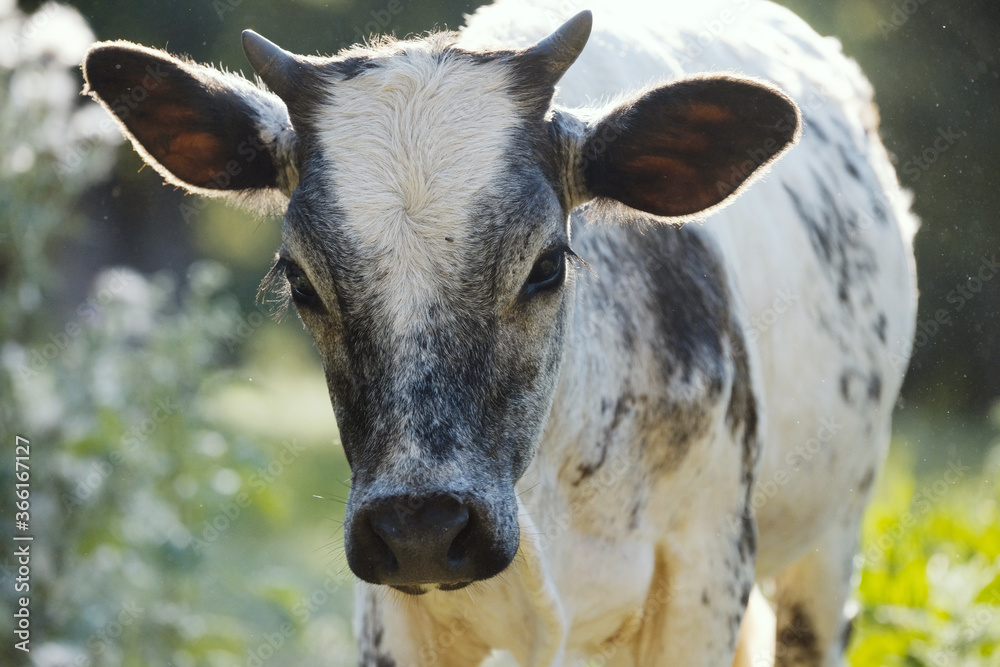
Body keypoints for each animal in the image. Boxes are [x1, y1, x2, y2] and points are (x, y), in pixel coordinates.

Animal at [81, 0, 918, 664]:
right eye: (299, 278)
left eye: (545, 265)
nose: (422, 526)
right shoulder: (390, 604)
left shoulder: (704, 575)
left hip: (830, 539)